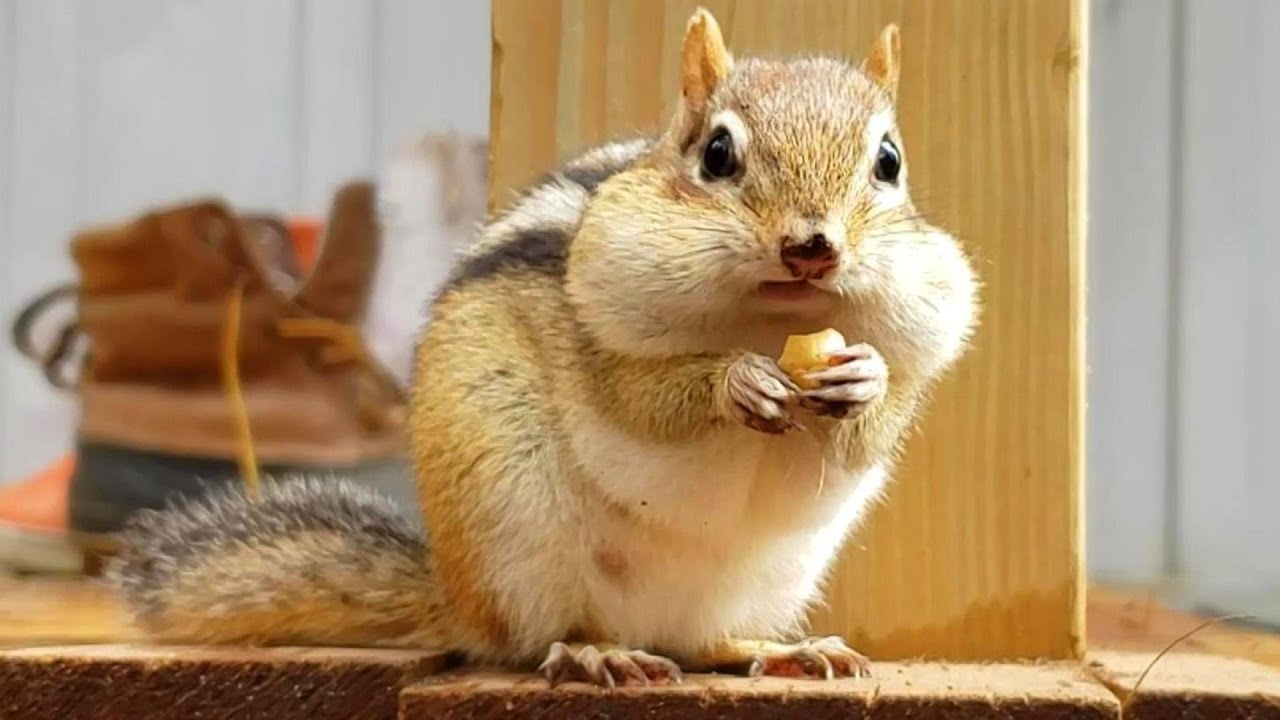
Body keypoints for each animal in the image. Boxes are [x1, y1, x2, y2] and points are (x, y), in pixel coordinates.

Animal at [108, 8, 979, 688]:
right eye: (717, 155)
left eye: (889, 161)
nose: (811, 249)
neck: (771, 321)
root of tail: (457, 598)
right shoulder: (597, 331)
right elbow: (643, 398)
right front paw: (734, 382)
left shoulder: (920, 349)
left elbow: (885, 411)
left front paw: (863, 378)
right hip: (516, 529)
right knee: (544, 638)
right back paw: (599, 654)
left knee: (702, 643)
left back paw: (776, 648)